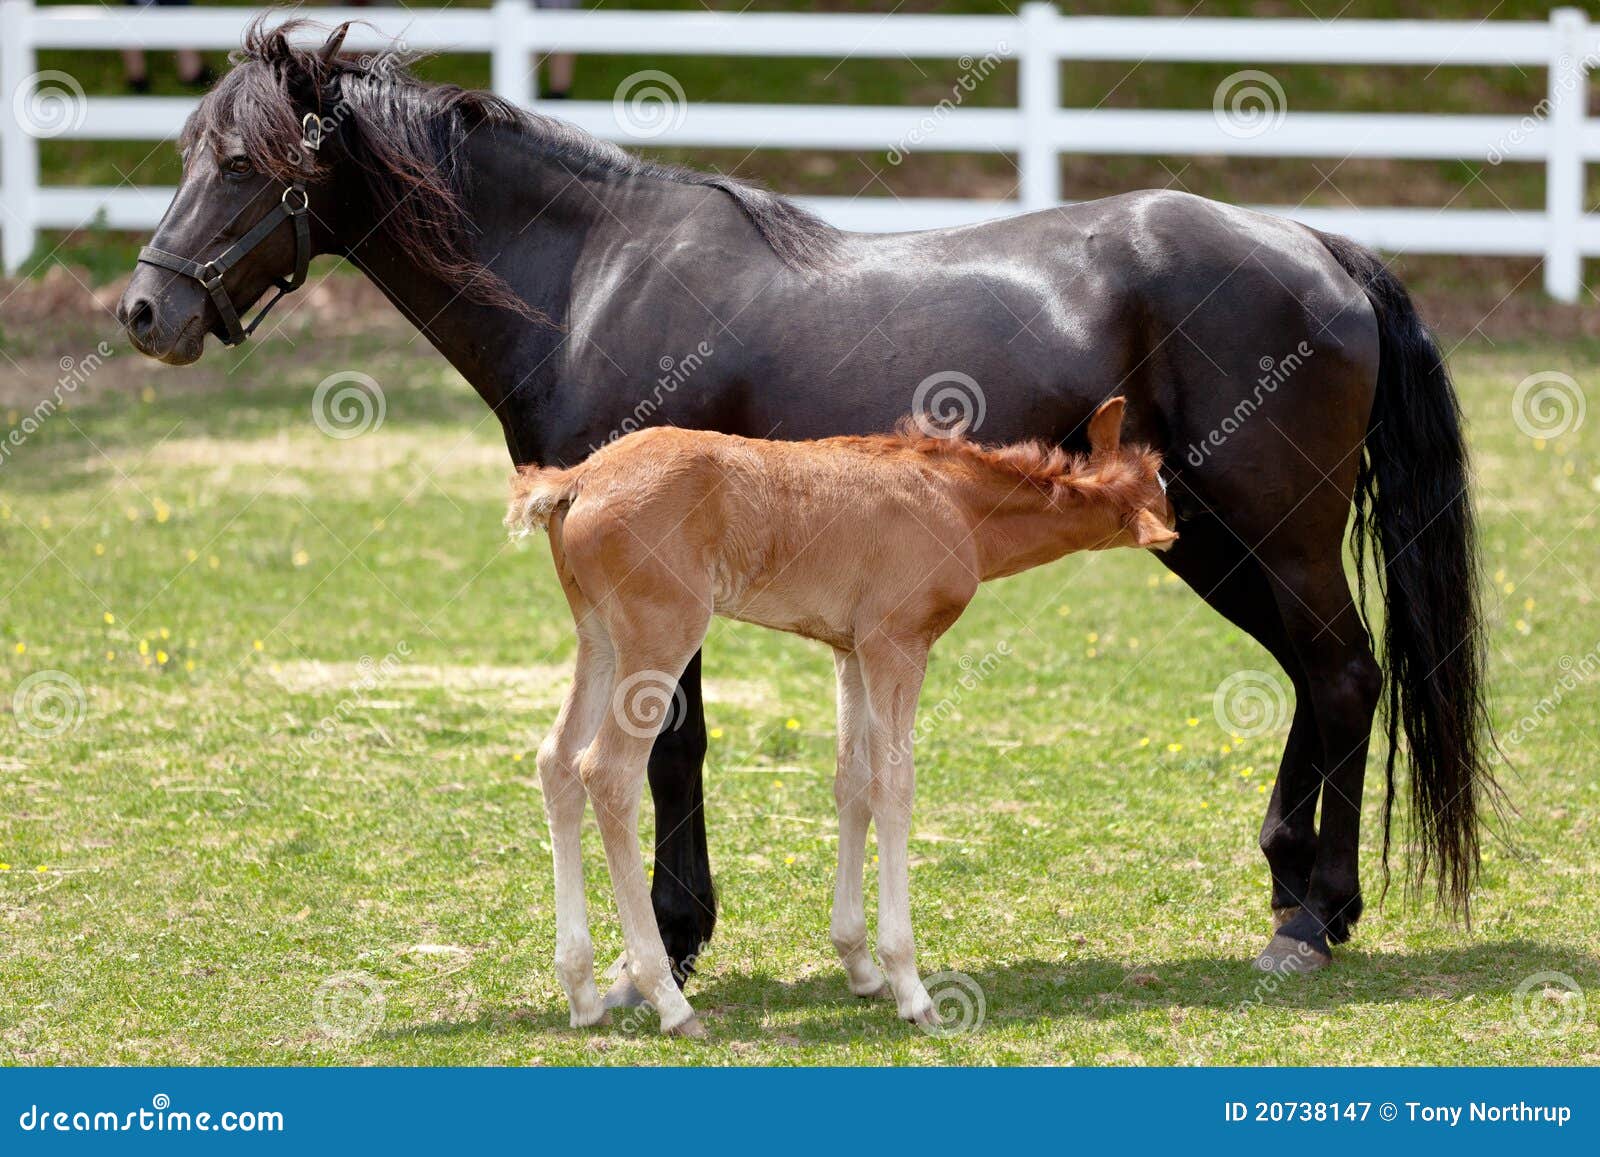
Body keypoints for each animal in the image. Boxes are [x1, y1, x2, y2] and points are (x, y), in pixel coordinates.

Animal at [507, 398, 1176, 1034]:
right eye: (1163, 482)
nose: (1177, 528)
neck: (956, 503)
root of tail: (578, 479)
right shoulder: (896, 643)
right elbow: (895, 787)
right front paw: (911, 989)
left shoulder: (849, 650)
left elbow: (852, 782)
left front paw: (860, 966)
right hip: (662, 634)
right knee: (608, 771)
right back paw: (669, 1002)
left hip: (598, 636)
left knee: (556, 760)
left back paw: (583, 994)